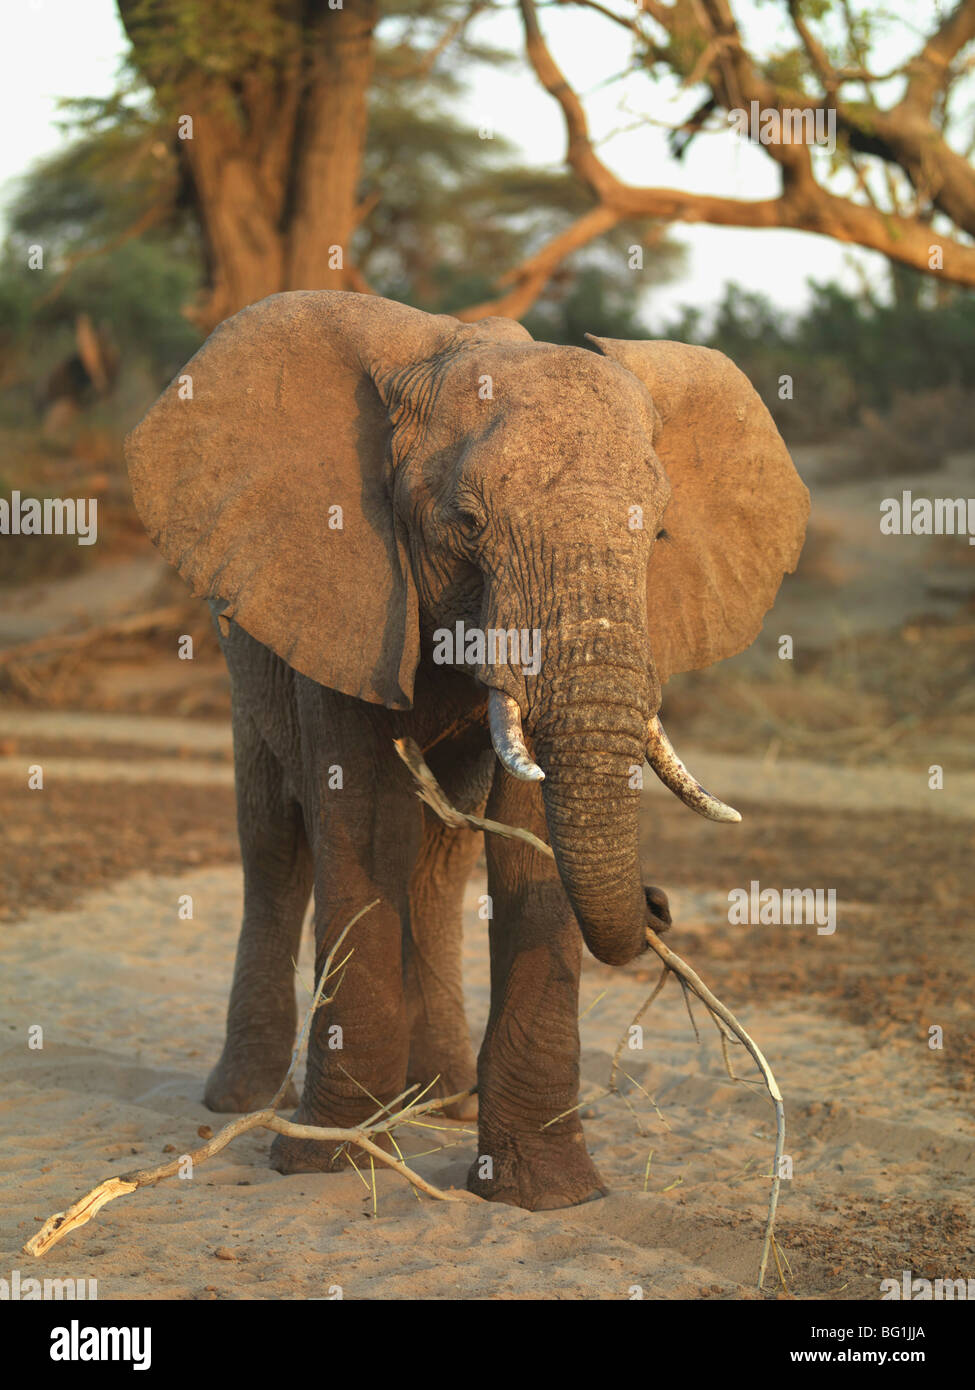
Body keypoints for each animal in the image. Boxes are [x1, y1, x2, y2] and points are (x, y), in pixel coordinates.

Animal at [124, 290, 808, 1211]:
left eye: (659, 533)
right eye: (467, 524)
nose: (660, 904)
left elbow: (526, 842)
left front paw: (545, 1194)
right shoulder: (345, 594)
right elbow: (363, 818)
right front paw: (328, 1161)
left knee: (439, 862)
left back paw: (443, 1099)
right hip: (243, 657)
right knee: (274, 845)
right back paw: (243, 1102)